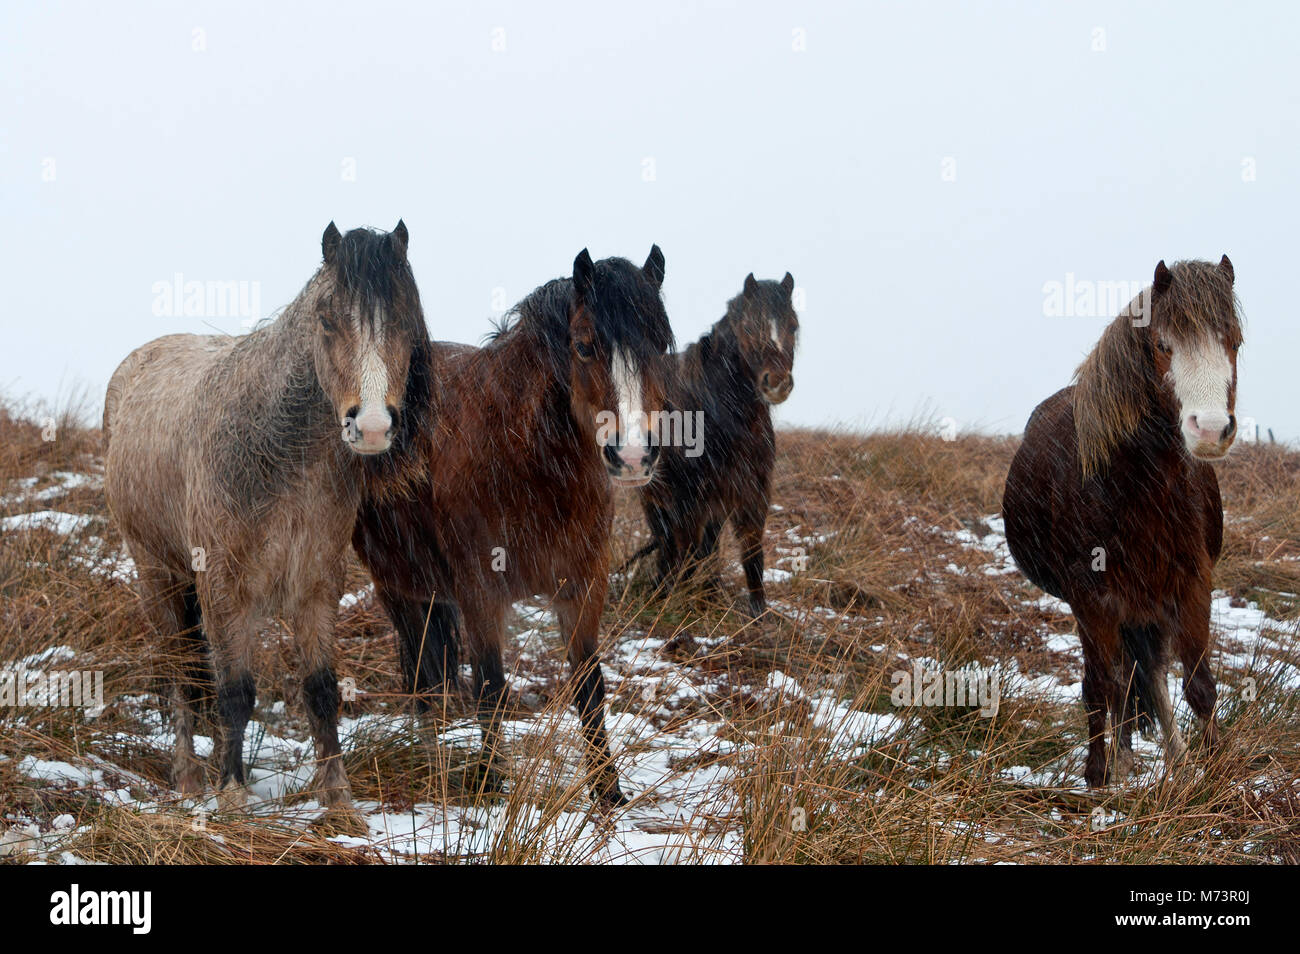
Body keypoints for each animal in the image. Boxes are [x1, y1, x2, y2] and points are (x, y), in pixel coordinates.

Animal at [103, 221, 433, 831]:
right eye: (327, 320)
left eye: (405, 319)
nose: (374, 426)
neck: (279, 452)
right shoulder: (225, 586)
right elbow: (235, 691)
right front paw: (231, 797)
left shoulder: (316, 583)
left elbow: (321, 690)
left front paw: (338, 798)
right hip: (157, 575)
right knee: (181, 674)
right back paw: (190, 777)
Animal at [352, 246, 673, 807]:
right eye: (583, 345)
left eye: (662, 344)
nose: (633, 456)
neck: (523, 459)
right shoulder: (482, 594)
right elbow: (491, 689)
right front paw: (489, 786)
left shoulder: (582, 589)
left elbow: (589, 688)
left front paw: (608, 794)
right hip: (394, 584)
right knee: (419, 674)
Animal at [634, 272, 798, 617]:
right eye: (749, 326)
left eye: (793, 325)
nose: (777, 383)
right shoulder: (687, 502)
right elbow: (686, 556)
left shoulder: (750, 494)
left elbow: (752, 557)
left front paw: (758, 614)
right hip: (657, 499)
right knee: (672, 549)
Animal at [1003, 256, 1241, 787]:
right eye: (1163, 346)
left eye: (1234, 342)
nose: (1211, 430)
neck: (1140, 485)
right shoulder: (1091, 599)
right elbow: (1099, 689)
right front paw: (1097, 779)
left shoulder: (1193, 583)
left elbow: (1199, 685)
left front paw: (1216, 778)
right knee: (1121, 681)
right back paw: (1127, 763)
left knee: (1147, 674)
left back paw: (1173, 759)